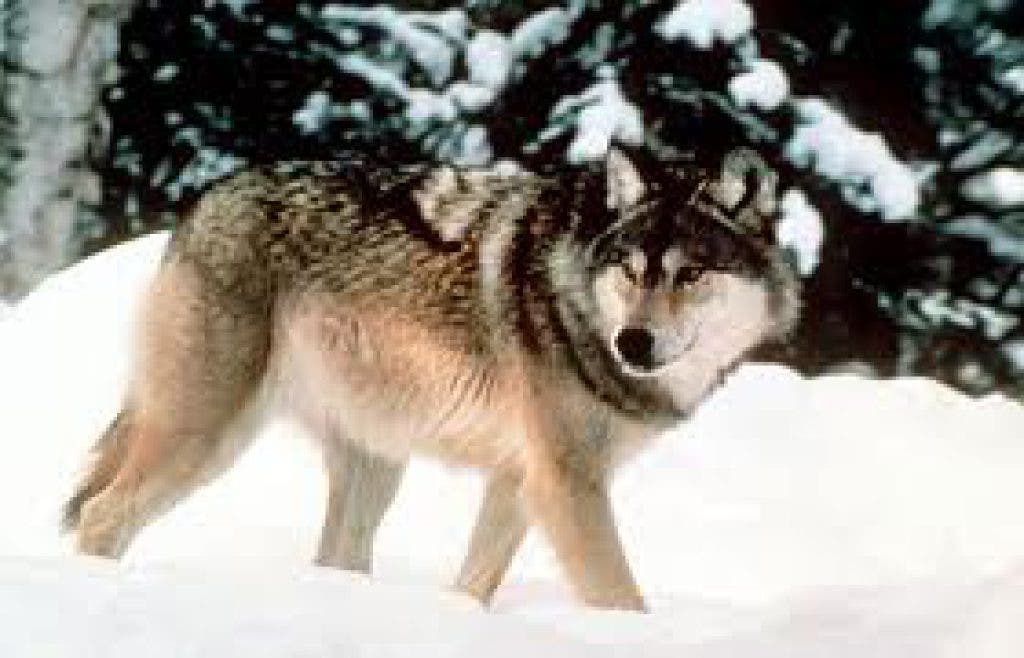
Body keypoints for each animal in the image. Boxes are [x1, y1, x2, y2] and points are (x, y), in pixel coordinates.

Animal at [62, 147, 799, 610]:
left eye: (690, 273)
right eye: (633, 269)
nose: (633, 342)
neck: (574, 296)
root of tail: (203, 201)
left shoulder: (520, 481)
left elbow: (471, 584)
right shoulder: (567, 485)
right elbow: (621, 598)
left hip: (374, 471)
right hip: (206, 440)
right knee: (100, 517)